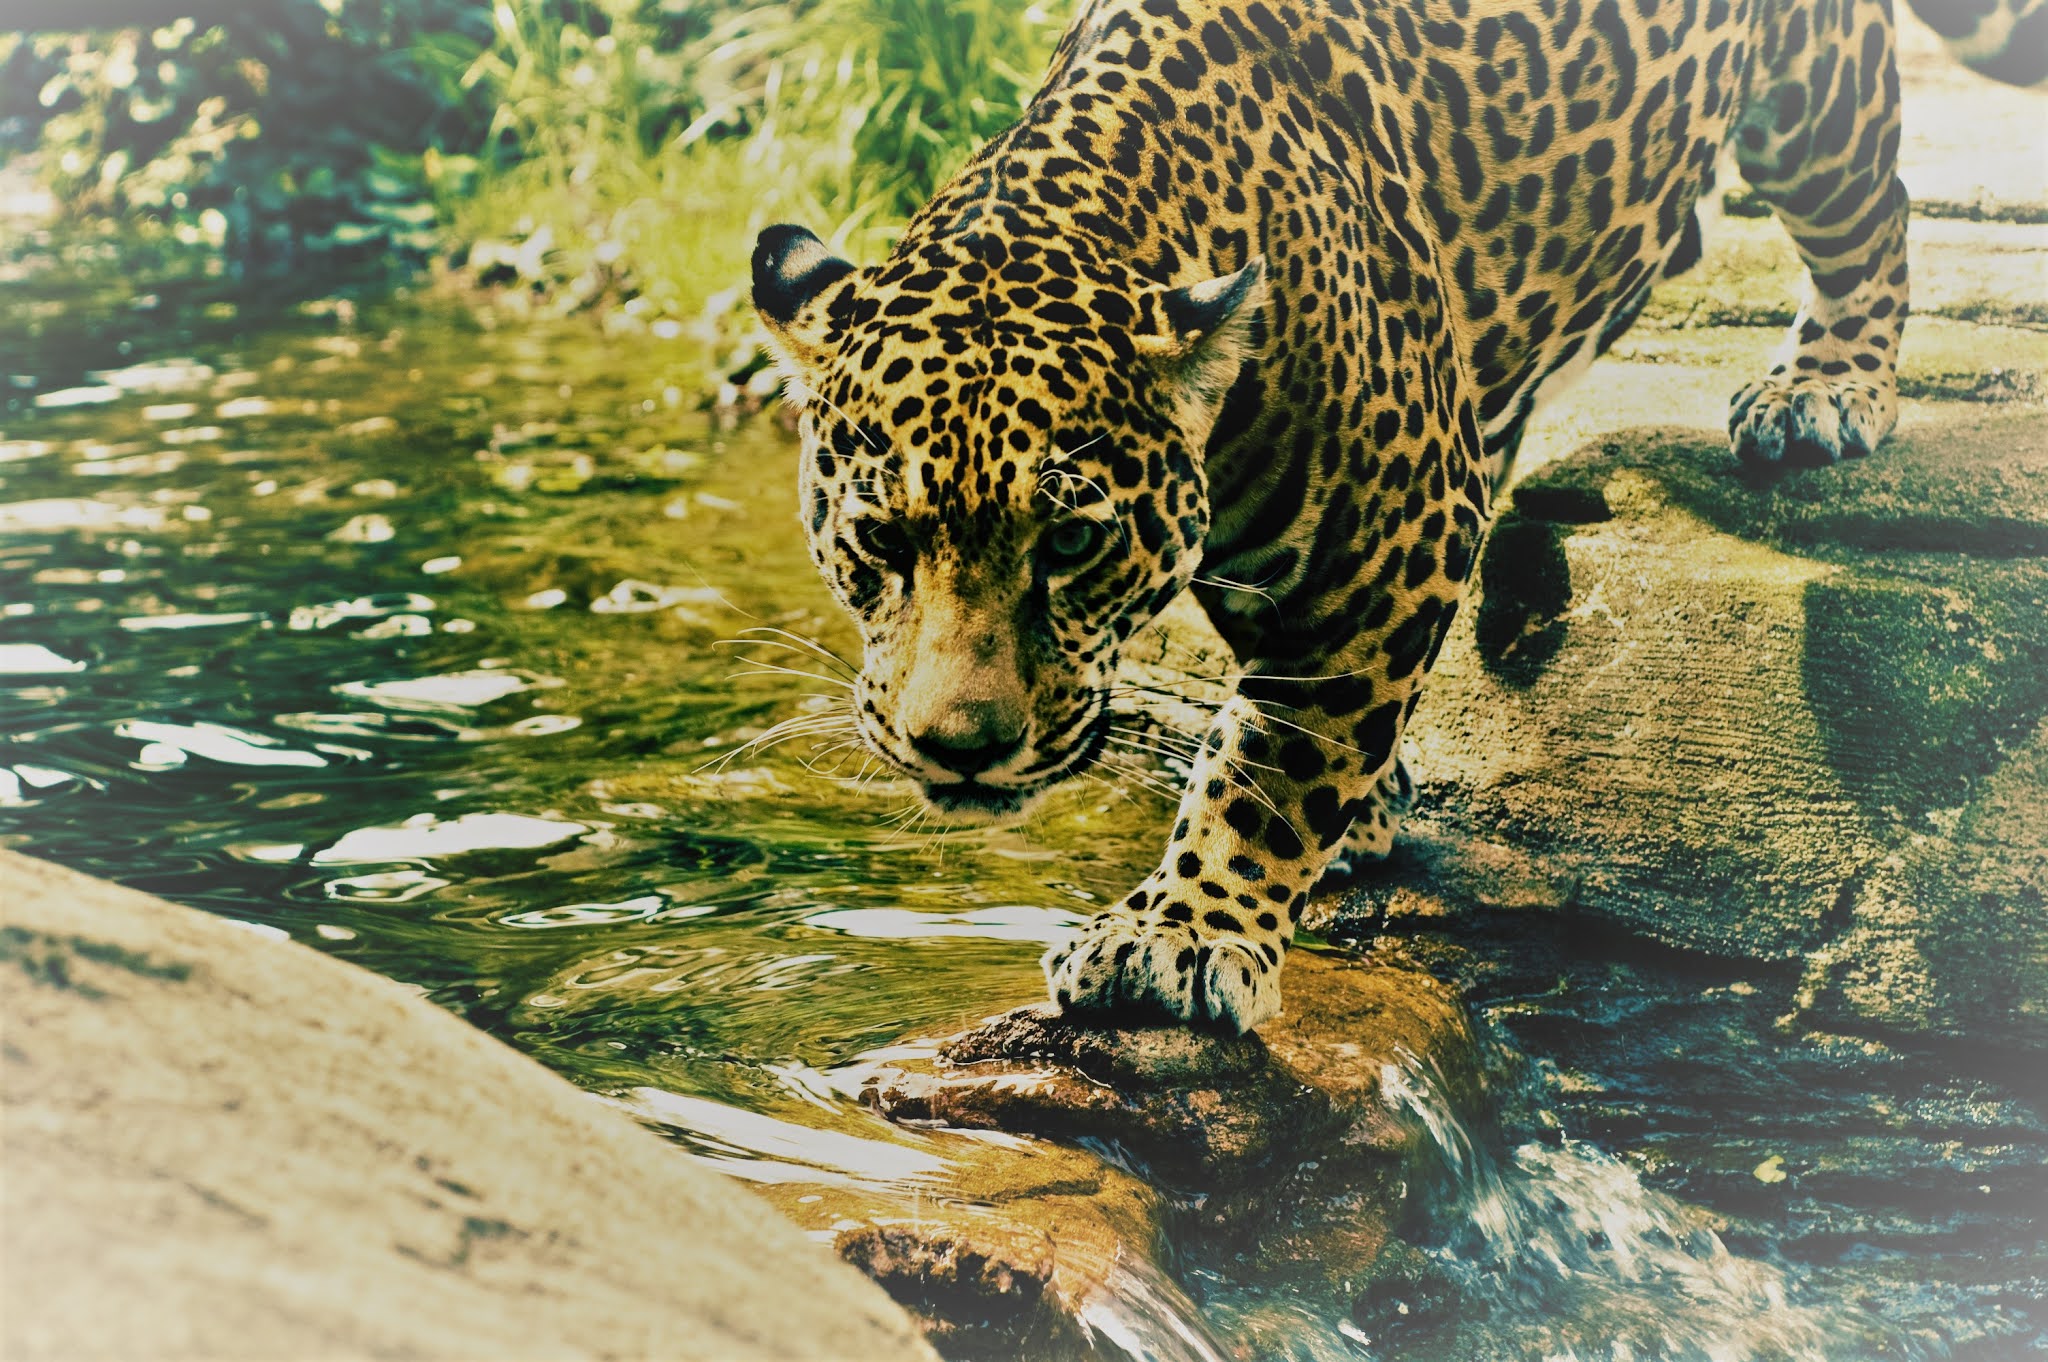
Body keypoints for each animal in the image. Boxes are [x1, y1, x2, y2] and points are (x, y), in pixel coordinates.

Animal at [749, 0, 2045, 1034]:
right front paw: (1356, 811)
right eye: (879, 542)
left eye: (1069, 542)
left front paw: (1179, 934)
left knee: (1870, 207)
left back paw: (1825, 386)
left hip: (1811, 96)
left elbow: (1269, 756)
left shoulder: (1385, 536)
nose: (959, 749)